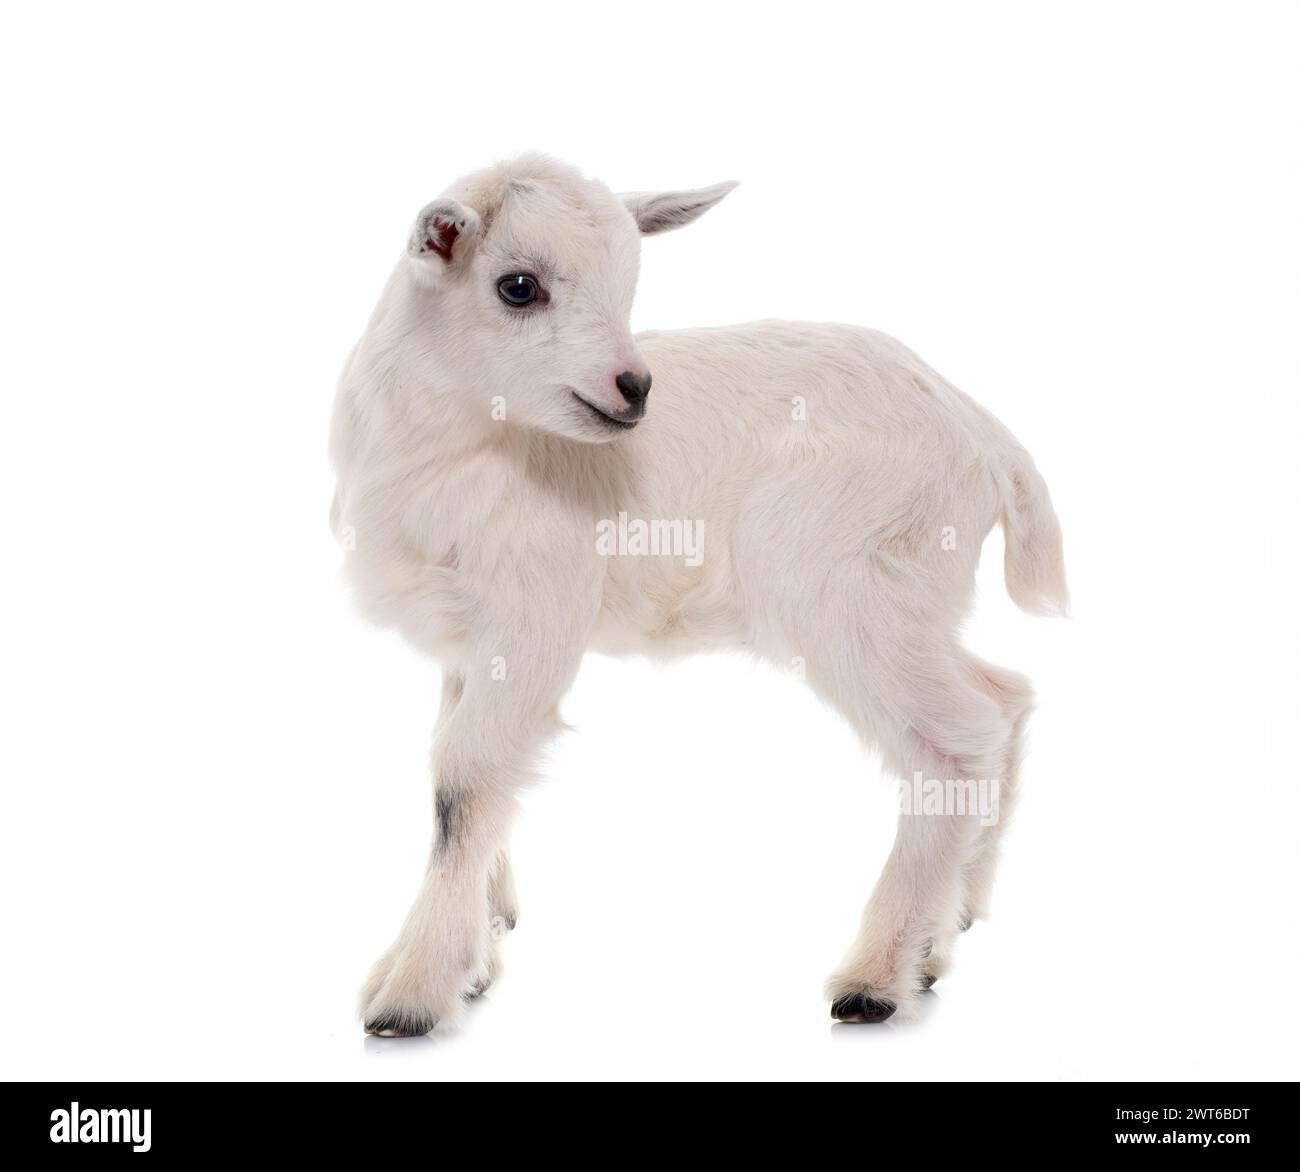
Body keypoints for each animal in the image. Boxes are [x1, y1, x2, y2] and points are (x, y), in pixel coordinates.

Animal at [330, 154, 1067, 1034]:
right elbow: (478, 772)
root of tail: (987, 438)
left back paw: (879, 976)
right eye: (518, 286)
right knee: (1006, 697)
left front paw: (412, 992)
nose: (634, 387)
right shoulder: (467, 639)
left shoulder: (537, 616)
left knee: (958, 737)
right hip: (915, 594)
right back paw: (948, 929)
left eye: (631, 283)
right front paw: (483, 945)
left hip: (850, 589)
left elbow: (463, 780)